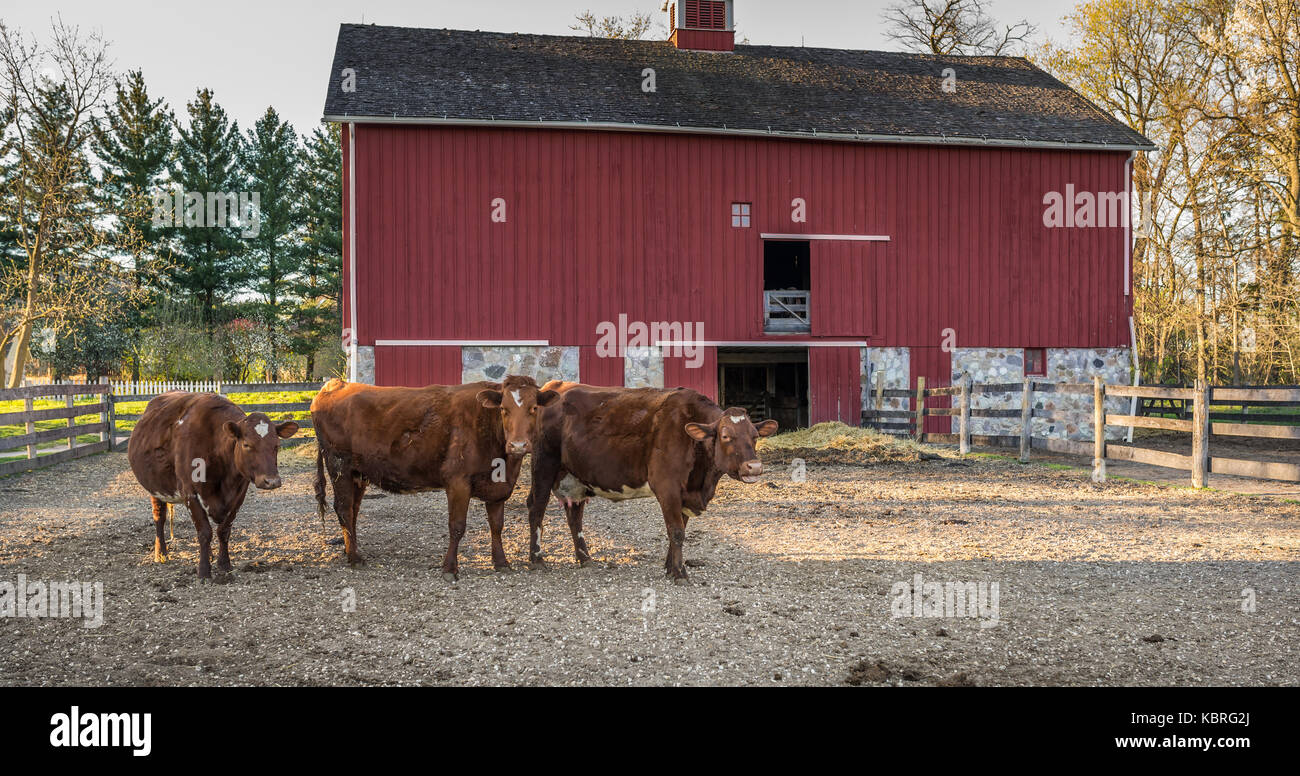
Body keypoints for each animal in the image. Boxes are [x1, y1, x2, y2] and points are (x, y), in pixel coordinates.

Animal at [127, 392, 299, 579]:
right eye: (247, 444)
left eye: (276, 445)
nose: (272, 481)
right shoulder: (190, 493)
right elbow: (204, 532)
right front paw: (203, 570)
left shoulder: (239, 494)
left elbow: (223, 531)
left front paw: (224, 564)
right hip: (156, 489)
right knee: (160, 518)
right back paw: (161, 554)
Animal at [311, 375, 559, 581]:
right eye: (504, 409)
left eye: (534, 408)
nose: (518, 445)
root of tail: (335, 385)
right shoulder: (457, 481)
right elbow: (457, 526)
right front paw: (450, 568)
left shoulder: (498, 487)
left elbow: (497, 525)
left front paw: (501, 562)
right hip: (338, 464)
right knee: (343, 508)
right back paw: (354, 557)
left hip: (358, 473)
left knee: (353, 509)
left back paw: (350, 549)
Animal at [525, 383, 778, 583]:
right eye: (725, 436)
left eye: (755, 435)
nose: (754, 466)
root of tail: (557, 388)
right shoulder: (667, 487)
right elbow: (677, 531)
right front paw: (680, 573)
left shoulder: (685, 493)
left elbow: (679, 529)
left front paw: (670, 567)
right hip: (544, 464)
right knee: (536, 508)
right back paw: (537, 560)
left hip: (576, 475)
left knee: (574, 515)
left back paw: (585, 558)